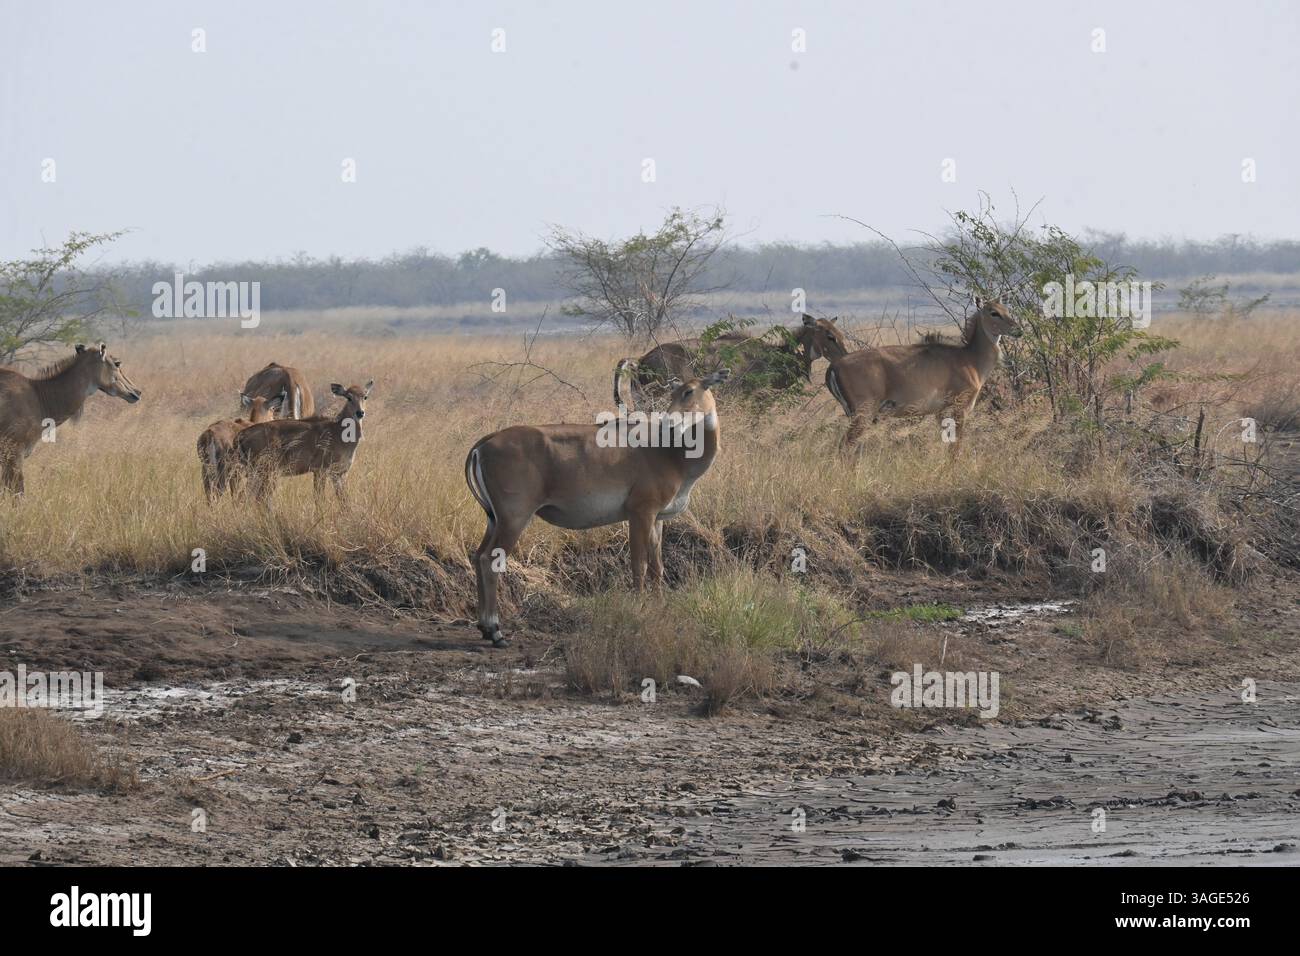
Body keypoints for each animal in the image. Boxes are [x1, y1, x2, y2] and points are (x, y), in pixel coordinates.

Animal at [234, 381, 372, 503]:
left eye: (365, 396)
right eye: (348, 397)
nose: (360, 413)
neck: (338, 433)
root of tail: (240, 436)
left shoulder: (339, 473)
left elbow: (345, 501)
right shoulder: (320, 469)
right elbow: (319, 499)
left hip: (256, 471)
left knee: (247, 496)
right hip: (265, 469)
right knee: (258, 497)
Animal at [464, 366, 731, 647]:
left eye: (689, 391)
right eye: (674, 392)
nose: (668, 422)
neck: (673, 455)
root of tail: (485, 443)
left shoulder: (657, 517)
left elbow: (657, 567)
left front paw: (659, 607)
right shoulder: (640, 512)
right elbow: (639, 564)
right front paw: (640, 609)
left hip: (495, 519)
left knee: (478, 556)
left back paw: (484, 627)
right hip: (514, 517)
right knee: (489, 559)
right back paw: (496, 631)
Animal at [824, 297, 1022, 453]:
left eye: (1007, 310)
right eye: (993, 312)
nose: (1018, 330)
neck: (970, 359)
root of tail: (834, 366)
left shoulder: (940, 412)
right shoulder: (960, 407)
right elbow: (956, 446)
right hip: (863, 413)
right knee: (845, 446)